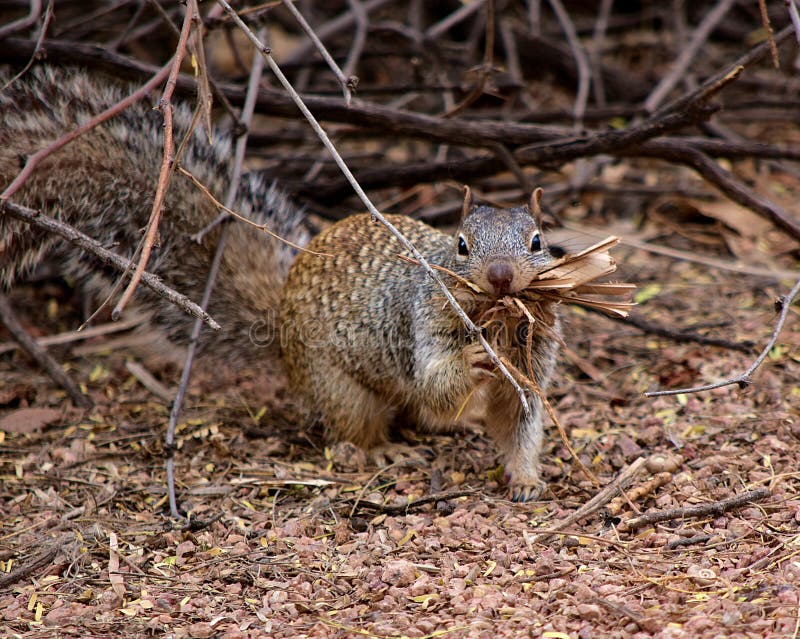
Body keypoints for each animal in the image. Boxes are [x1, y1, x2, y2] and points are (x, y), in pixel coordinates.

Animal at [1, 66, 561, 501]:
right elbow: (435, 380)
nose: (501, 276)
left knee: (420, 414)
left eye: (537, 241)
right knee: (359, 425)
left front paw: (526, 478)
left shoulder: (533, 363)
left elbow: (520, 420)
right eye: (462, 246)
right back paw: (378, 451)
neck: (501, 322)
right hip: (339, 388)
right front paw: (473, 358)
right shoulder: (424, 319)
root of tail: (283, 327)